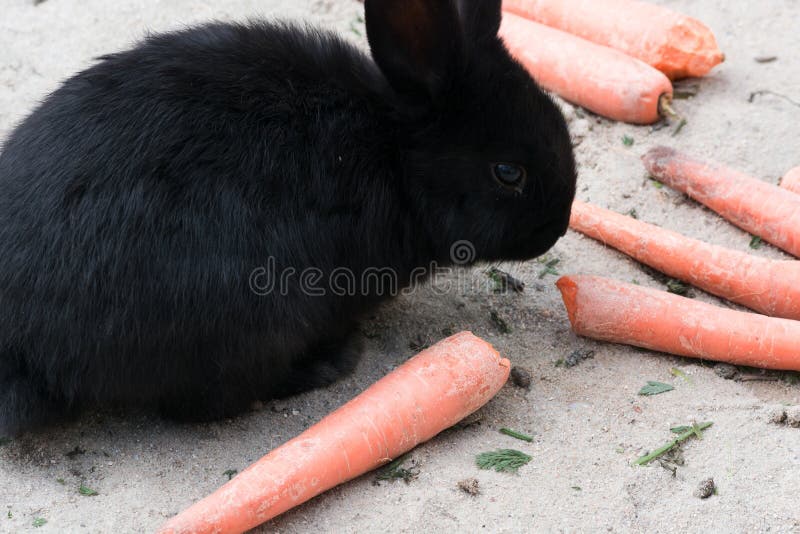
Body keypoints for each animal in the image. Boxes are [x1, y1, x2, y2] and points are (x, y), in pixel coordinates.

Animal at [0, 0, 576, 437]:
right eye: (508, 172)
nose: (556, 228)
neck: (392, 153)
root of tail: (25, 350)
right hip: (249, 320)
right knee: (201, 407)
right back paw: (329, 363)